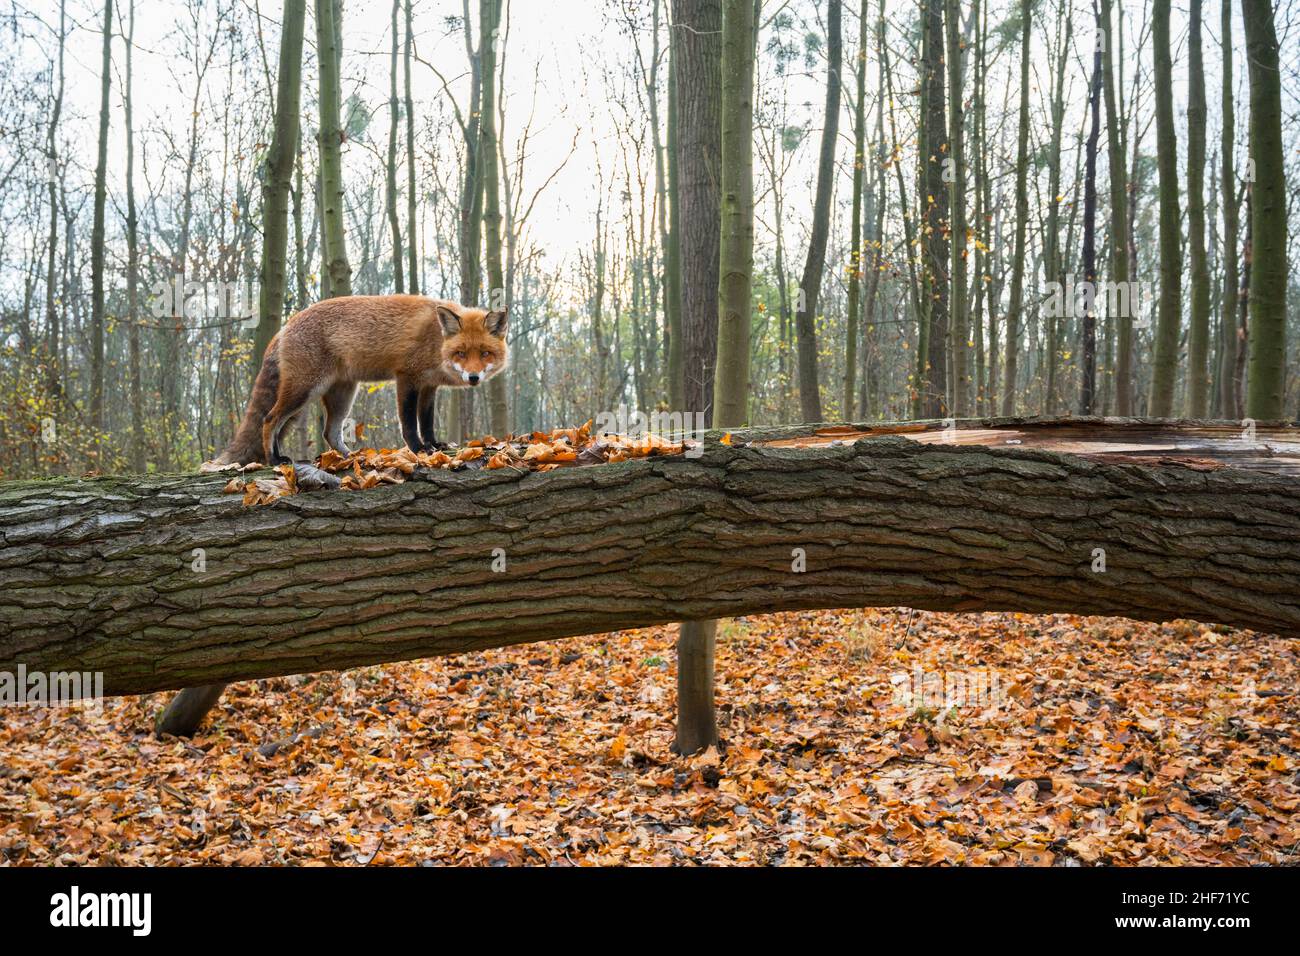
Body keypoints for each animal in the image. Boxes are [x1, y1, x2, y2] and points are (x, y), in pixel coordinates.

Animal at [213, 294, 508, 467]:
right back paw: (274, 459)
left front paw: (435, 446)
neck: (436, 339)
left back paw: (349, 458)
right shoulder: (407, 378)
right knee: (269, 419)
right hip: (304, 389)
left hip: (342, 395)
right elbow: (409, 424)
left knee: (329, 433)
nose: (473, 377)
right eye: (461, 353)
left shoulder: (429, 385)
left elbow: (427, 423)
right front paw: (417, 449)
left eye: (485, 353)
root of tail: (286, 325)